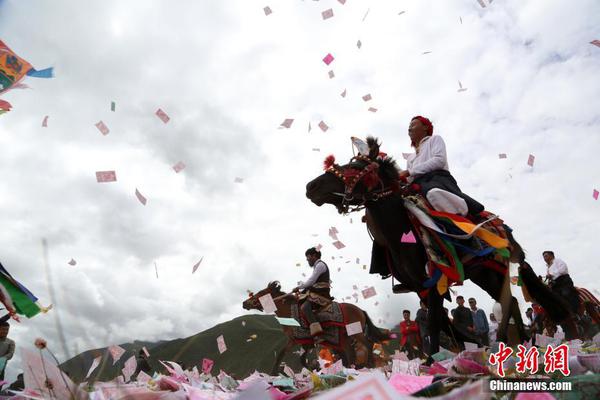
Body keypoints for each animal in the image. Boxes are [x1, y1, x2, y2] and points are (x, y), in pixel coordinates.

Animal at [243, 282, 390, 372]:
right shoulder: (299, 342)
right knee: (351, 352)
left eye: (261, 293)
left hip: (355, 332)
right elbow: (290, 357)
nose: (245, 303)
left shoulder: (302, 341)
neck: (290, 312)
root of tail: (360, 310)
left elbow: (295, 358)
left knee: (368, 344)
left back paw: (369, 364)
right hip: (345, 339)